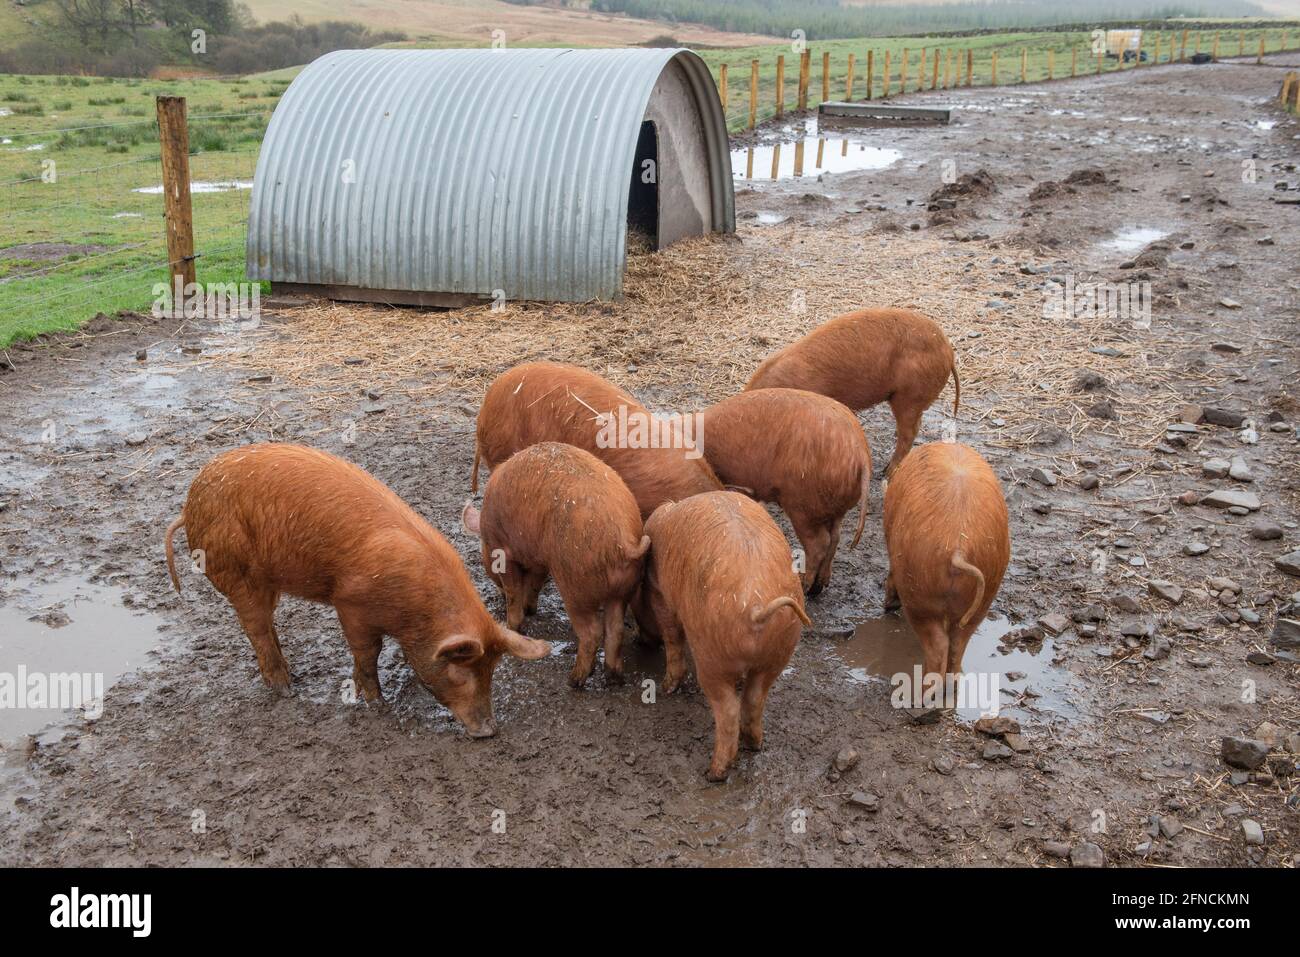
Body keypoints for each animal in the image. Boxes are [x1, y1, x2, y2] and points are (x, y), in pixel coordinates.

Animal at [164, 443, 550, 737]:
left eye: (491, 672)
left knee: (266, 625)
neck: (415, 611)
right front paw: (377, 704)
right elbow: (367, 654)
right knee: (255, 627)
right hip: (236, 571)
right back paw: (286, 689)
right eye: (461, 671)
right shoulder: (349, 603)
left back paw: (291, 676)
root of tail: (189, 505)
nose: (489, 731)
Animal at [461, 442, 649, 688]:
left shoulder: (504, 552)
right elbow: (534, 583)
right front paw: (530, 609)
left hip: (575, 586)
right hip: (623, 589)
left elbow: (513, 590)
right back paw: (613, 679)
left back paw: (573, 681)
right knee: (615, 631)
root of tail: (624, 542)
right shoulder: (540, 559)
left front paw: (513, 624)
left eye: (483, 551)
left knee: (592, 633)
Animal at [641, 491, 811, 781]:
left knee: (727, 710)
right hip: (780, 648)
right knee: (755, 697)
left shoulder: (660, 593)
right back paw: (754, 745)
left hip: (712, 656)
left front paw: (665, 688)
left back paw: (714, 772)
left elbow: (672, 635)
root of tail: (756, 608)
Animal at [700, 388, 871, 597]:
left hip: (803, 505)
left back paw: (805, 587)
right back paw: (819, 587)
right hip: (833, 509)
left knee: (819, 544)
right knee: (835, 538)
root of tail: (861, 453)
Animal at [881, 441, 1009, 707]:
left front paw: (888, 605)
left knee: (938, 645)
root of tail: (959, 547)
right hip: (987, 588)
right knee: (959, 643)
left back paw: (919, 698)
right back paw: (951, 689)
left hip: (919, 592)